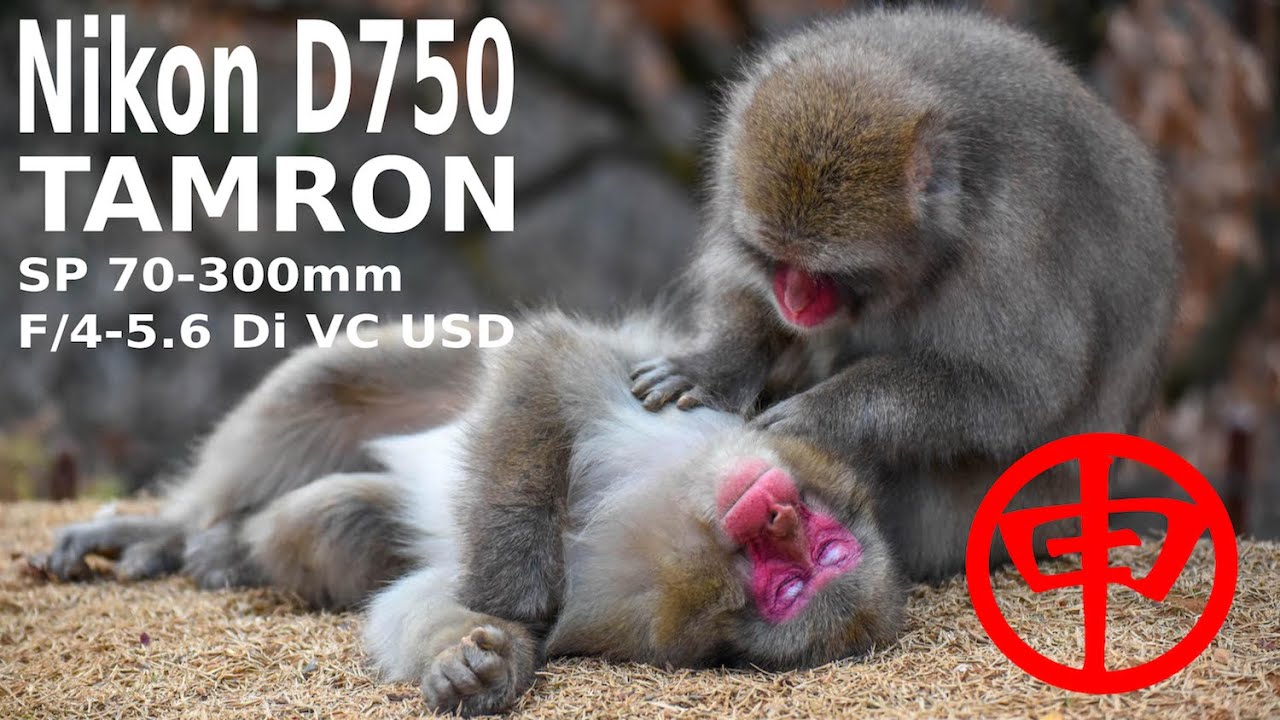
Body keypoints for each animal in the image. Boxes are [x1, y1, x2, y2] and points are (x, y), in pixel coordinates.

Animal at [42, 311, 906, 716]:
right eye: (818, 546)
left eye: (791, 584)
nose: (776, 519)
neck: (668, 510)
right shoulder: (685, 406)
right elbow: (545, 363)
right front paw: (512, 573)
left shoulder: (619, 611)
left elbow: (428, 603)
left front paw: (480, 665)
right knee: (328, 380)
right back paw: (167, 530)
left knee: (333, 522)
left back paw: (227, 550)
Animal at [630, 7, 1178, 582]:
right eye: (777, 257)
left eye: (827, 271)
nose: (794, 302)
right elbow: (738, 283)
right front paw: (718, 363)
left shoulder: (1017, 239)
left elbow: (1020, 389)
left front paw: (829, 413)